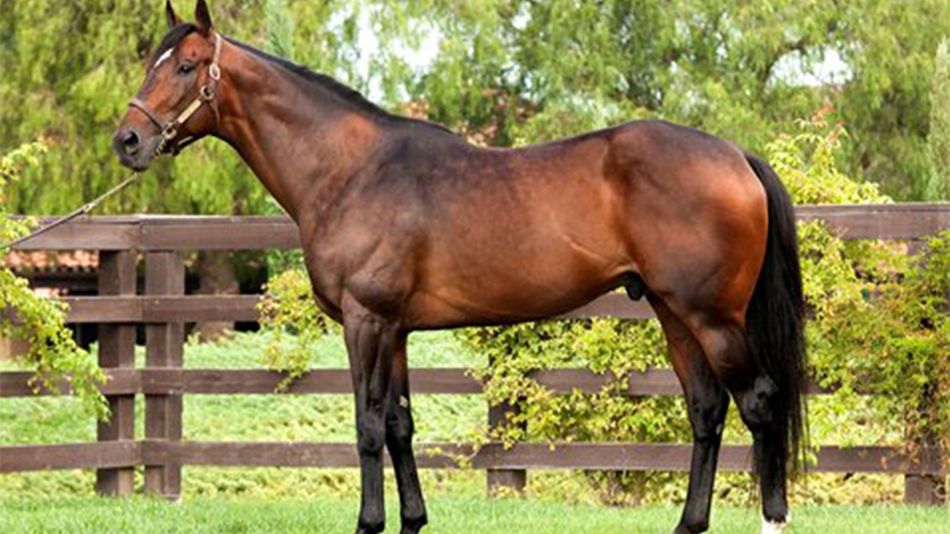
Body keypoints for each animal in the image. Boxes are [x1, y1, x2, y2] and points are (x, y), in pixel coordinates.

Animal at [114, 3, 806, 533]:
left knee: (759, 402)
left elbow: (368, 426)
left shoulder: (366, 322)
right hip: (673, 314)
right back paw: (689, 524)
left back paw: (772, 518)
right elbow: (400, 424)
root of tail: (735, 156)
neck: (350, 171)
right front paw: (413, 520)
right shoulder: (395, 329)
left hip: (712, 317)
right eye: (150, 63)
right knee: (707, 410)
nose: (127, 141)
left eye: (184, 66)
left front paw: (369, 523)